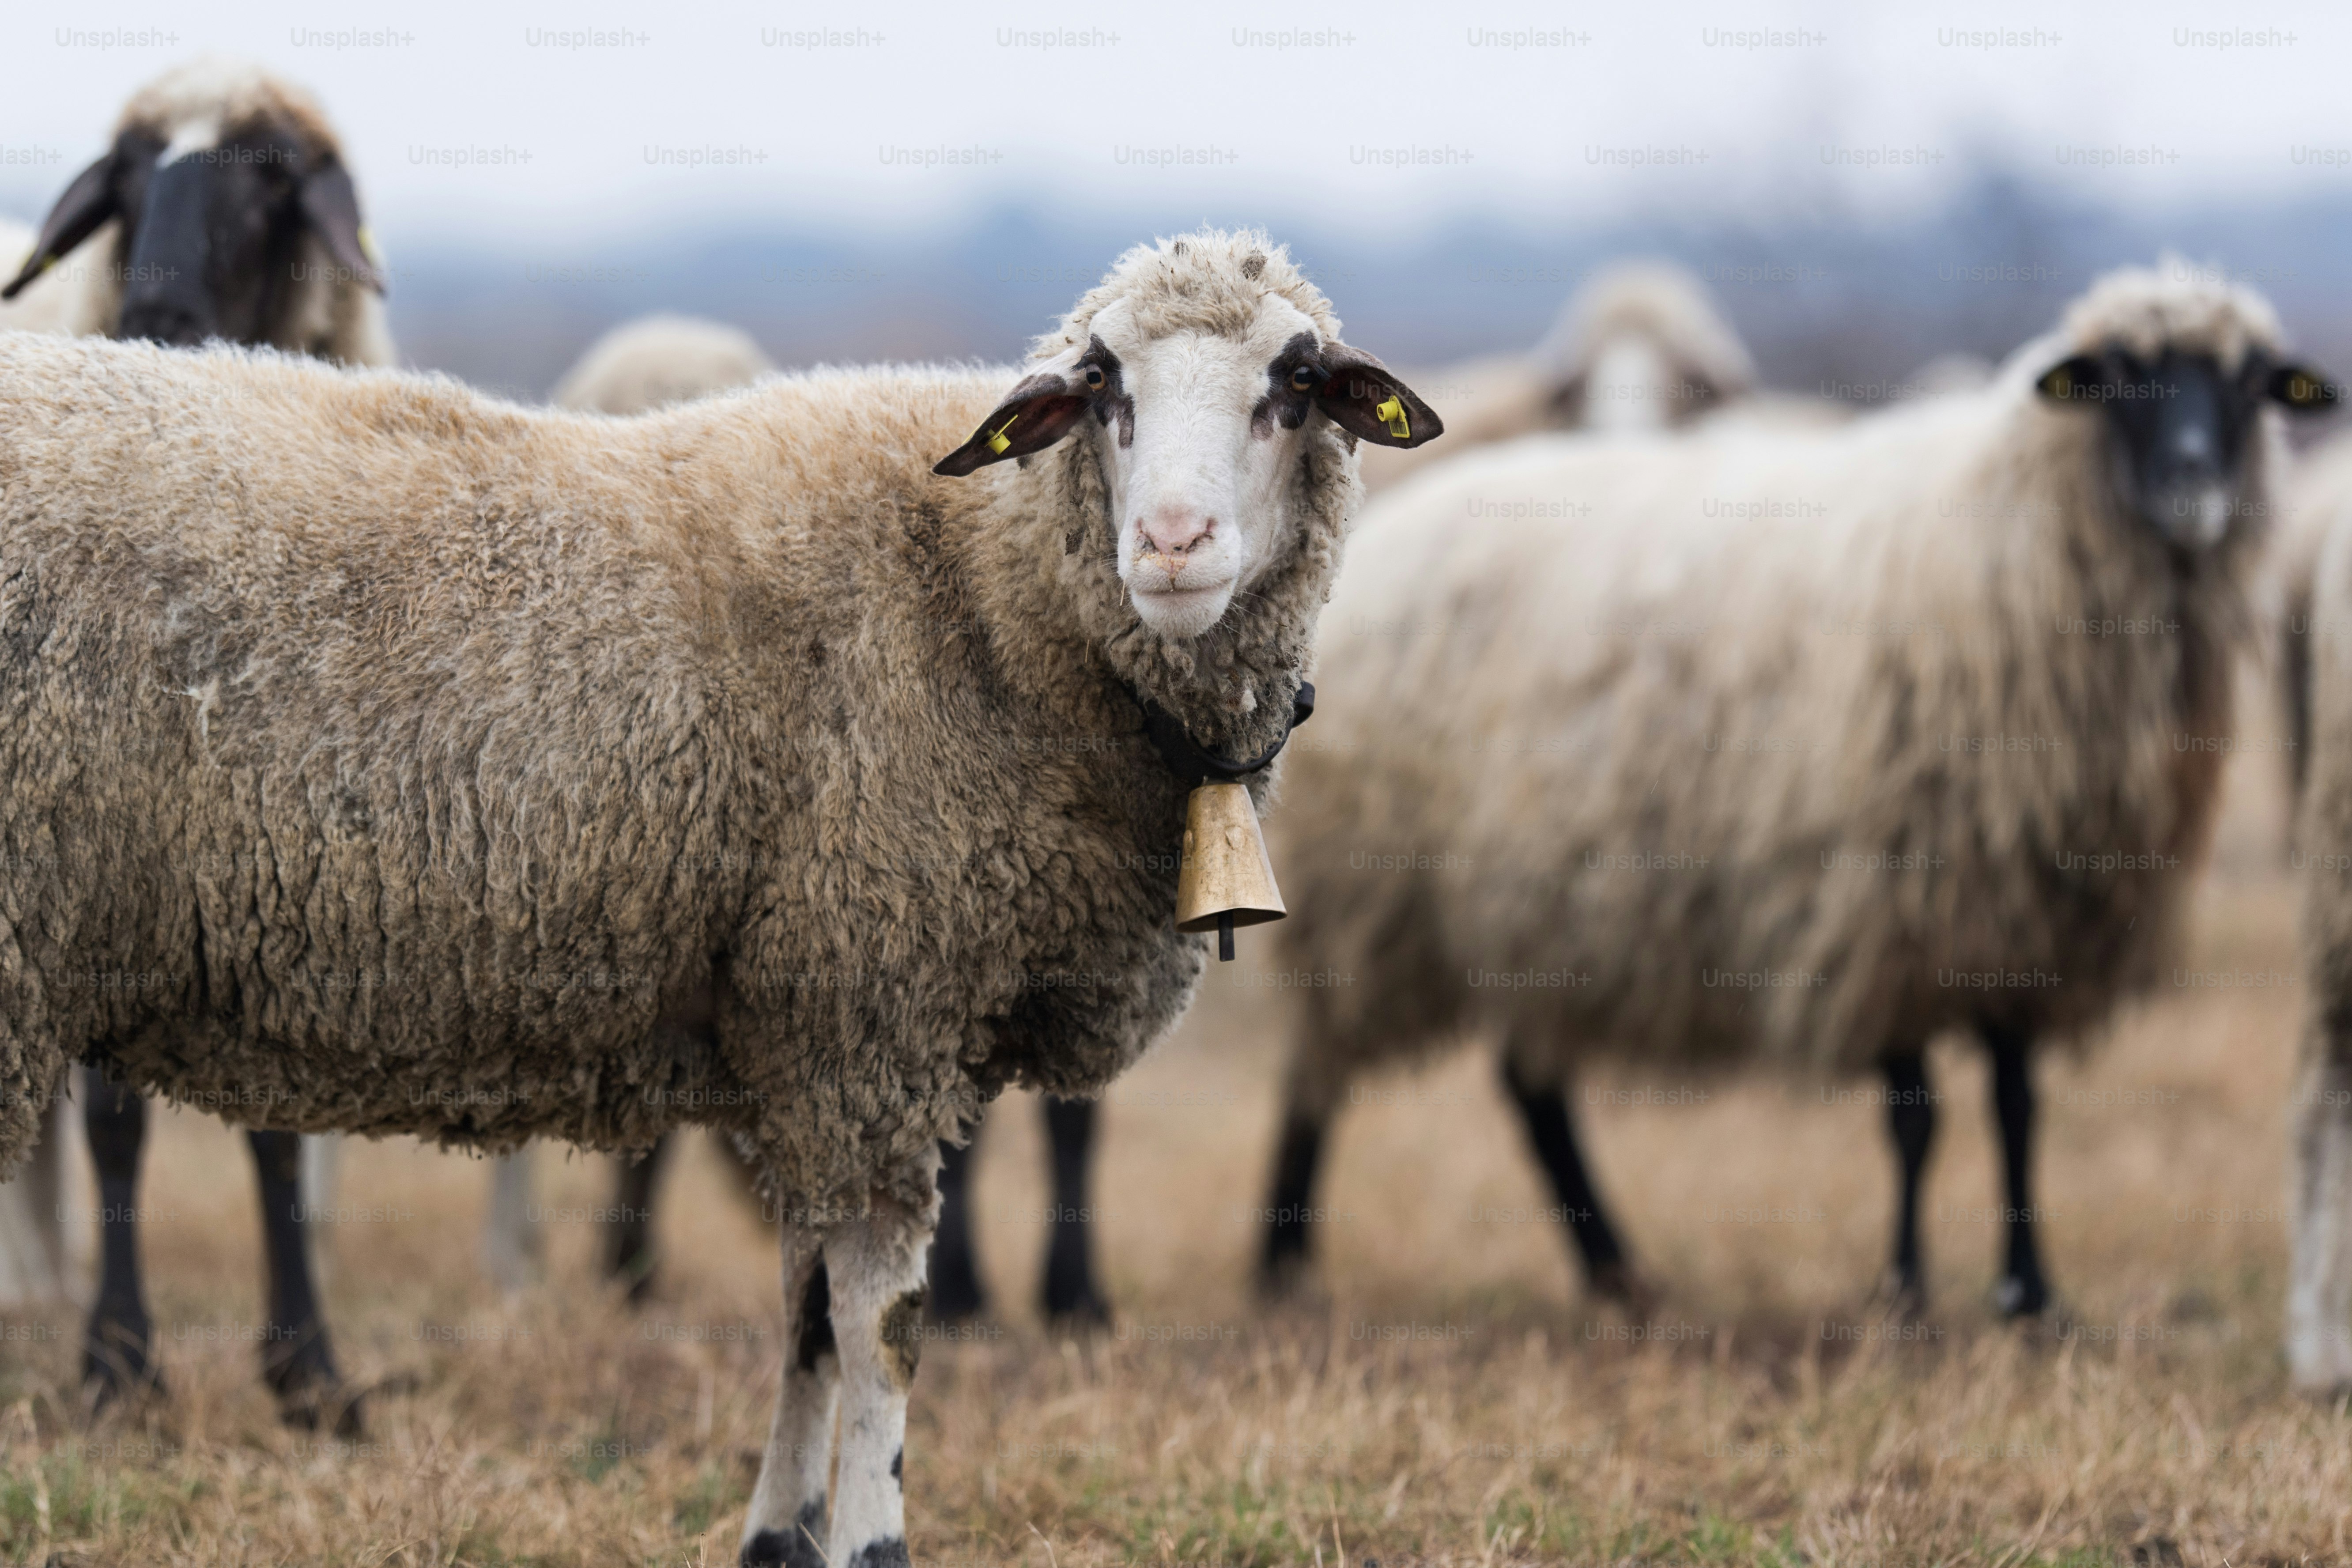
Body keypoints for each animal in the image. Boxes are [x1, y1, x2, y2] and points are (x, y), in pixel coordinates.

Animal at [0, 57, 392, 1423]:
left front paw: (309, 1370)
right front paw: (119, 1365)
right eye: (123, 182)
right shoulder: (108, 837)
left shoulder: (278, 855)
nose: (157, 313)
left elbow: (275, 1128)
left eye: (271, 184)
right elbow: (118, 1120)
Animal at [0, 227, 1439, 1568]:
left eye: (1294, 385)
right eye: (1100, 386)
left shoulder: (808, 1039)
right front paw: (872, 1535)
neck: (991, 593)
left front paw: (776, 1534)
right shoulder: (869, 1015)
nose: (1172, 544)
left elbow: (806, 1311)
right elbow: (881, 1322)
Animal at [1259, 260, 2332, 1318]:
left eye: (2250, 384)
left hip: (1515, 907)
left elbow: (2017, 1105)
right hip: (1369, 891)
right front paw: (1903, 1293)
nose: (2193, 486)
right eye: (2113, 378)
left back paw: (1615, 1273)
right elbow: (1915, 1118)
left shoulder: (2021, 917)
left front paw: (2027, 1295)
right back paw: (1284, 1263)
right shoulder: (1878, 904)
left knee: (1529, 1087)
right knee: (1318, 1076)